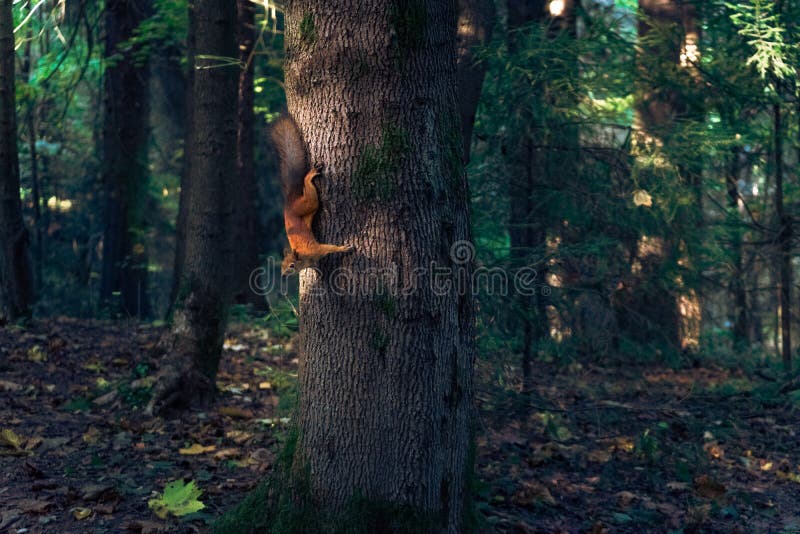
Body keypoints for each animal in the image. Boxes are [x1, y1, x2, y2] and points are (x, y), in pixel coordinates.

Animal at [271, 116, 353, 276]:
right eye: (282, 265)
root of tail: (289, 201)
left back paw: (309, 176)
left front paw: (342, 248)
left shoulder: (316, 250)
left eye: (291, 265)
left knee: (310, 193)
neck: (303, 258)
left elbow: (329, 248)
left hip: (308, 203)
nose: (283, 275)